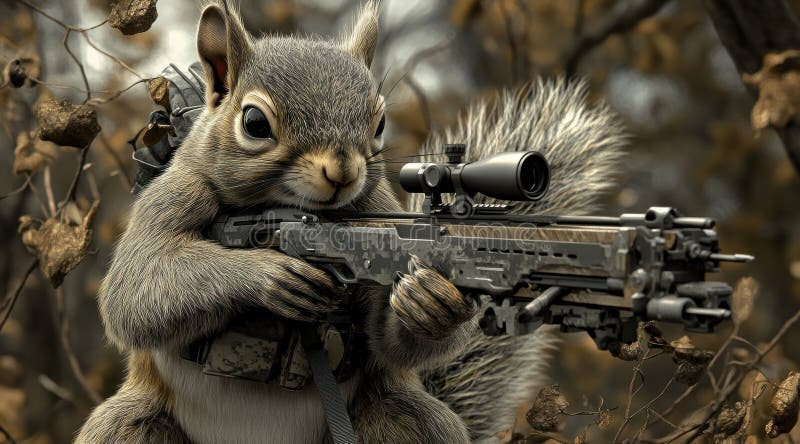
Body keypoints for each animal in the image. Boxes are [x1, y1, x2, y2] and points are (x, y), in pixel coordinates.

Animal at [76, 2, 626, 443]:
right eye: (254, 123)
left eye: (379, 122)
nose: (342, 171)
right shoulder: (174, 196)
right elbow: (136, 289)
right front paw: (267, 273)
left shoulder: (378, 214)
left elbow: (389, 340)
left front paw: (431, 300)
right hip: (130, 426)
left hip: (404, 419)